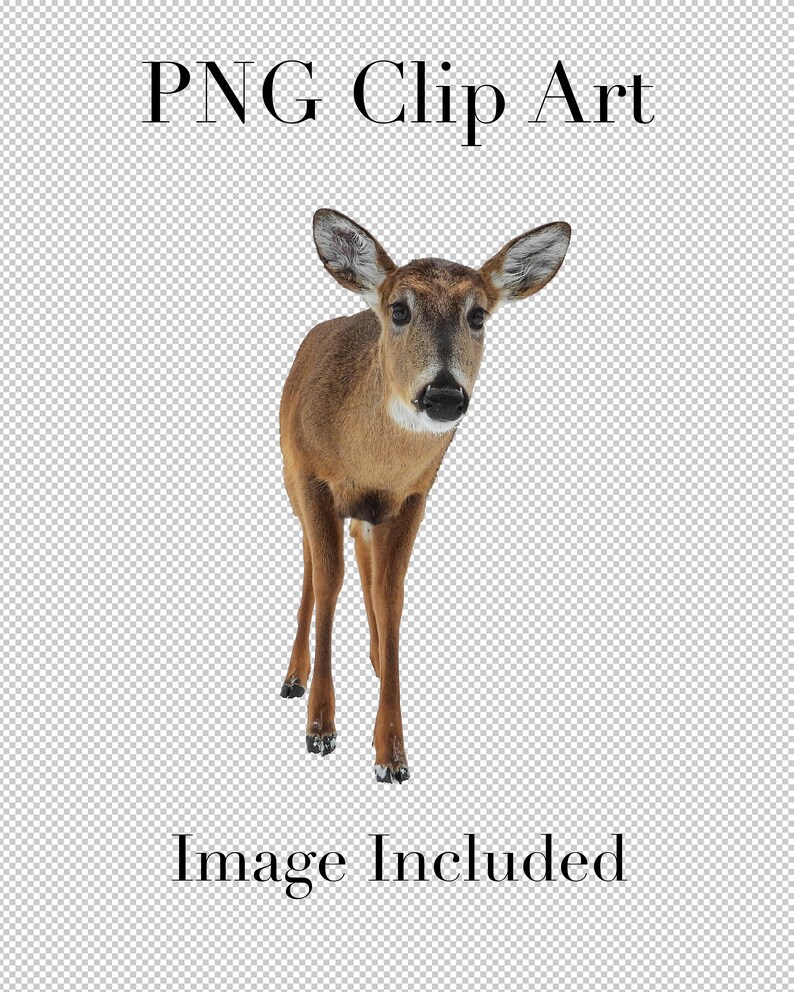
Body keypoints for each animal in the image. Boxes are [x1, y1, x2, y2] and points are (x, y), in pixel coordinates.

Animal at [279, 209, 571, 782]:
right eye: (399, 309)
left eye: (478, 315)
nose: (443, 394)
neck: (370, 459)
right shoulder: (312, 477)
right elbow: (328, 581)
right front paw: (320, 728)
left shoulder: (414, 494)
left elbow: (392, 596)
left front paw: (391, 754)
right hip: (289, 477)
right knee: (312, 564)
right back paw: (294, 678)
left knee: (364, 554)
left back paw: (374, 657)